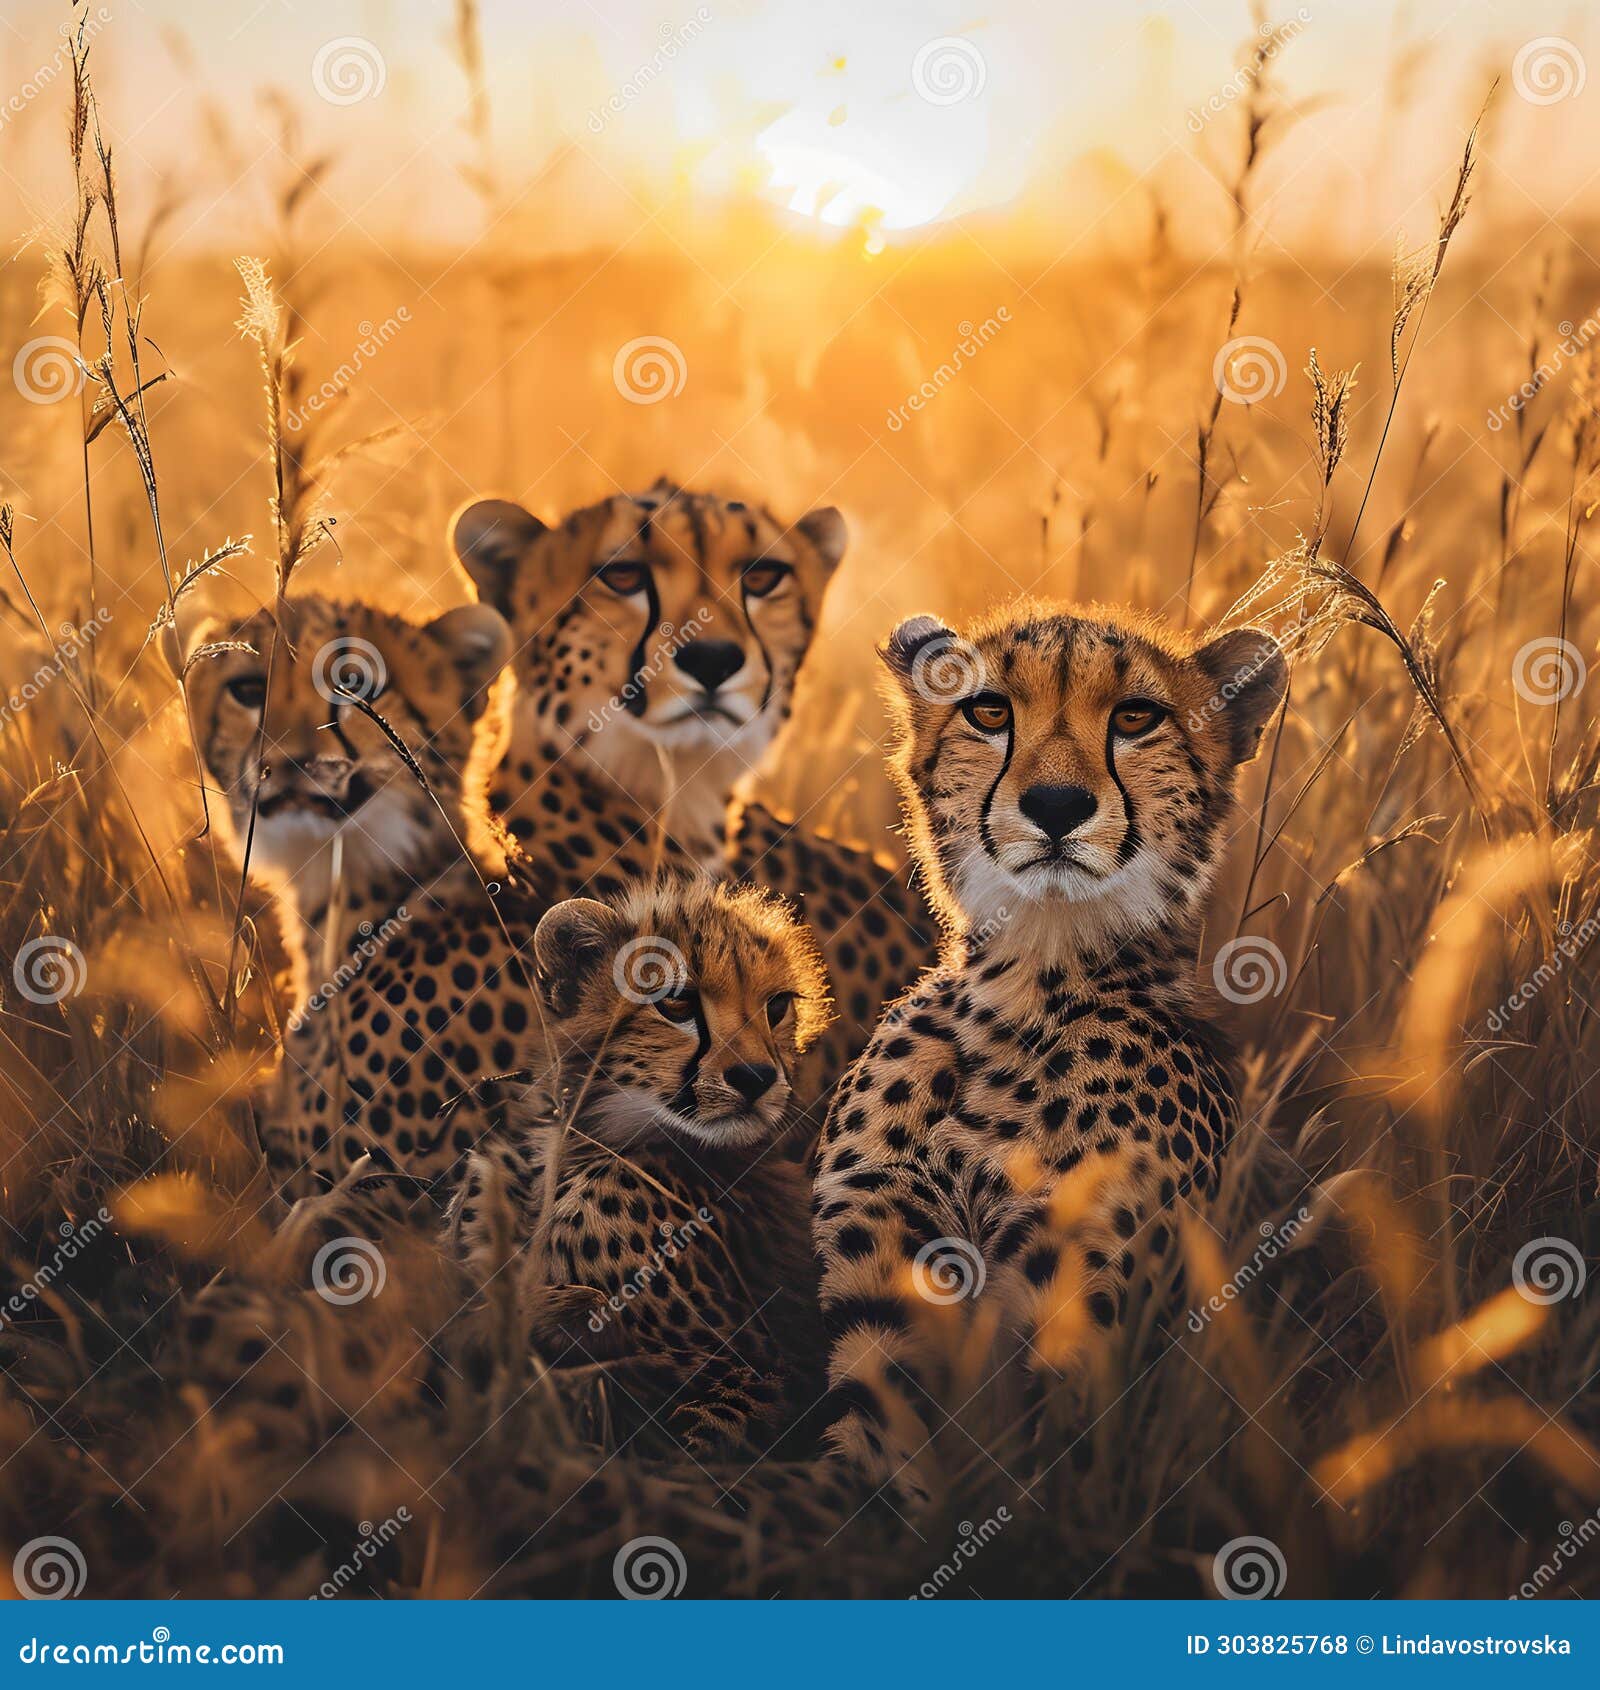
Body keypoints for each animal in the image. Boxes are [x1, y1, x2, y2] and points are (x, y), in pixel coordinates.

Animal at [811, 600, 1288, 1509]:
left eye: (1135, 718)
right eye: (988, 710)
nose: (1058, 803)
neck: (1030, 978)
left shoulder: (1075, 1308)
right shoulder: (878, 1284)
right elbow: (879, 1454)